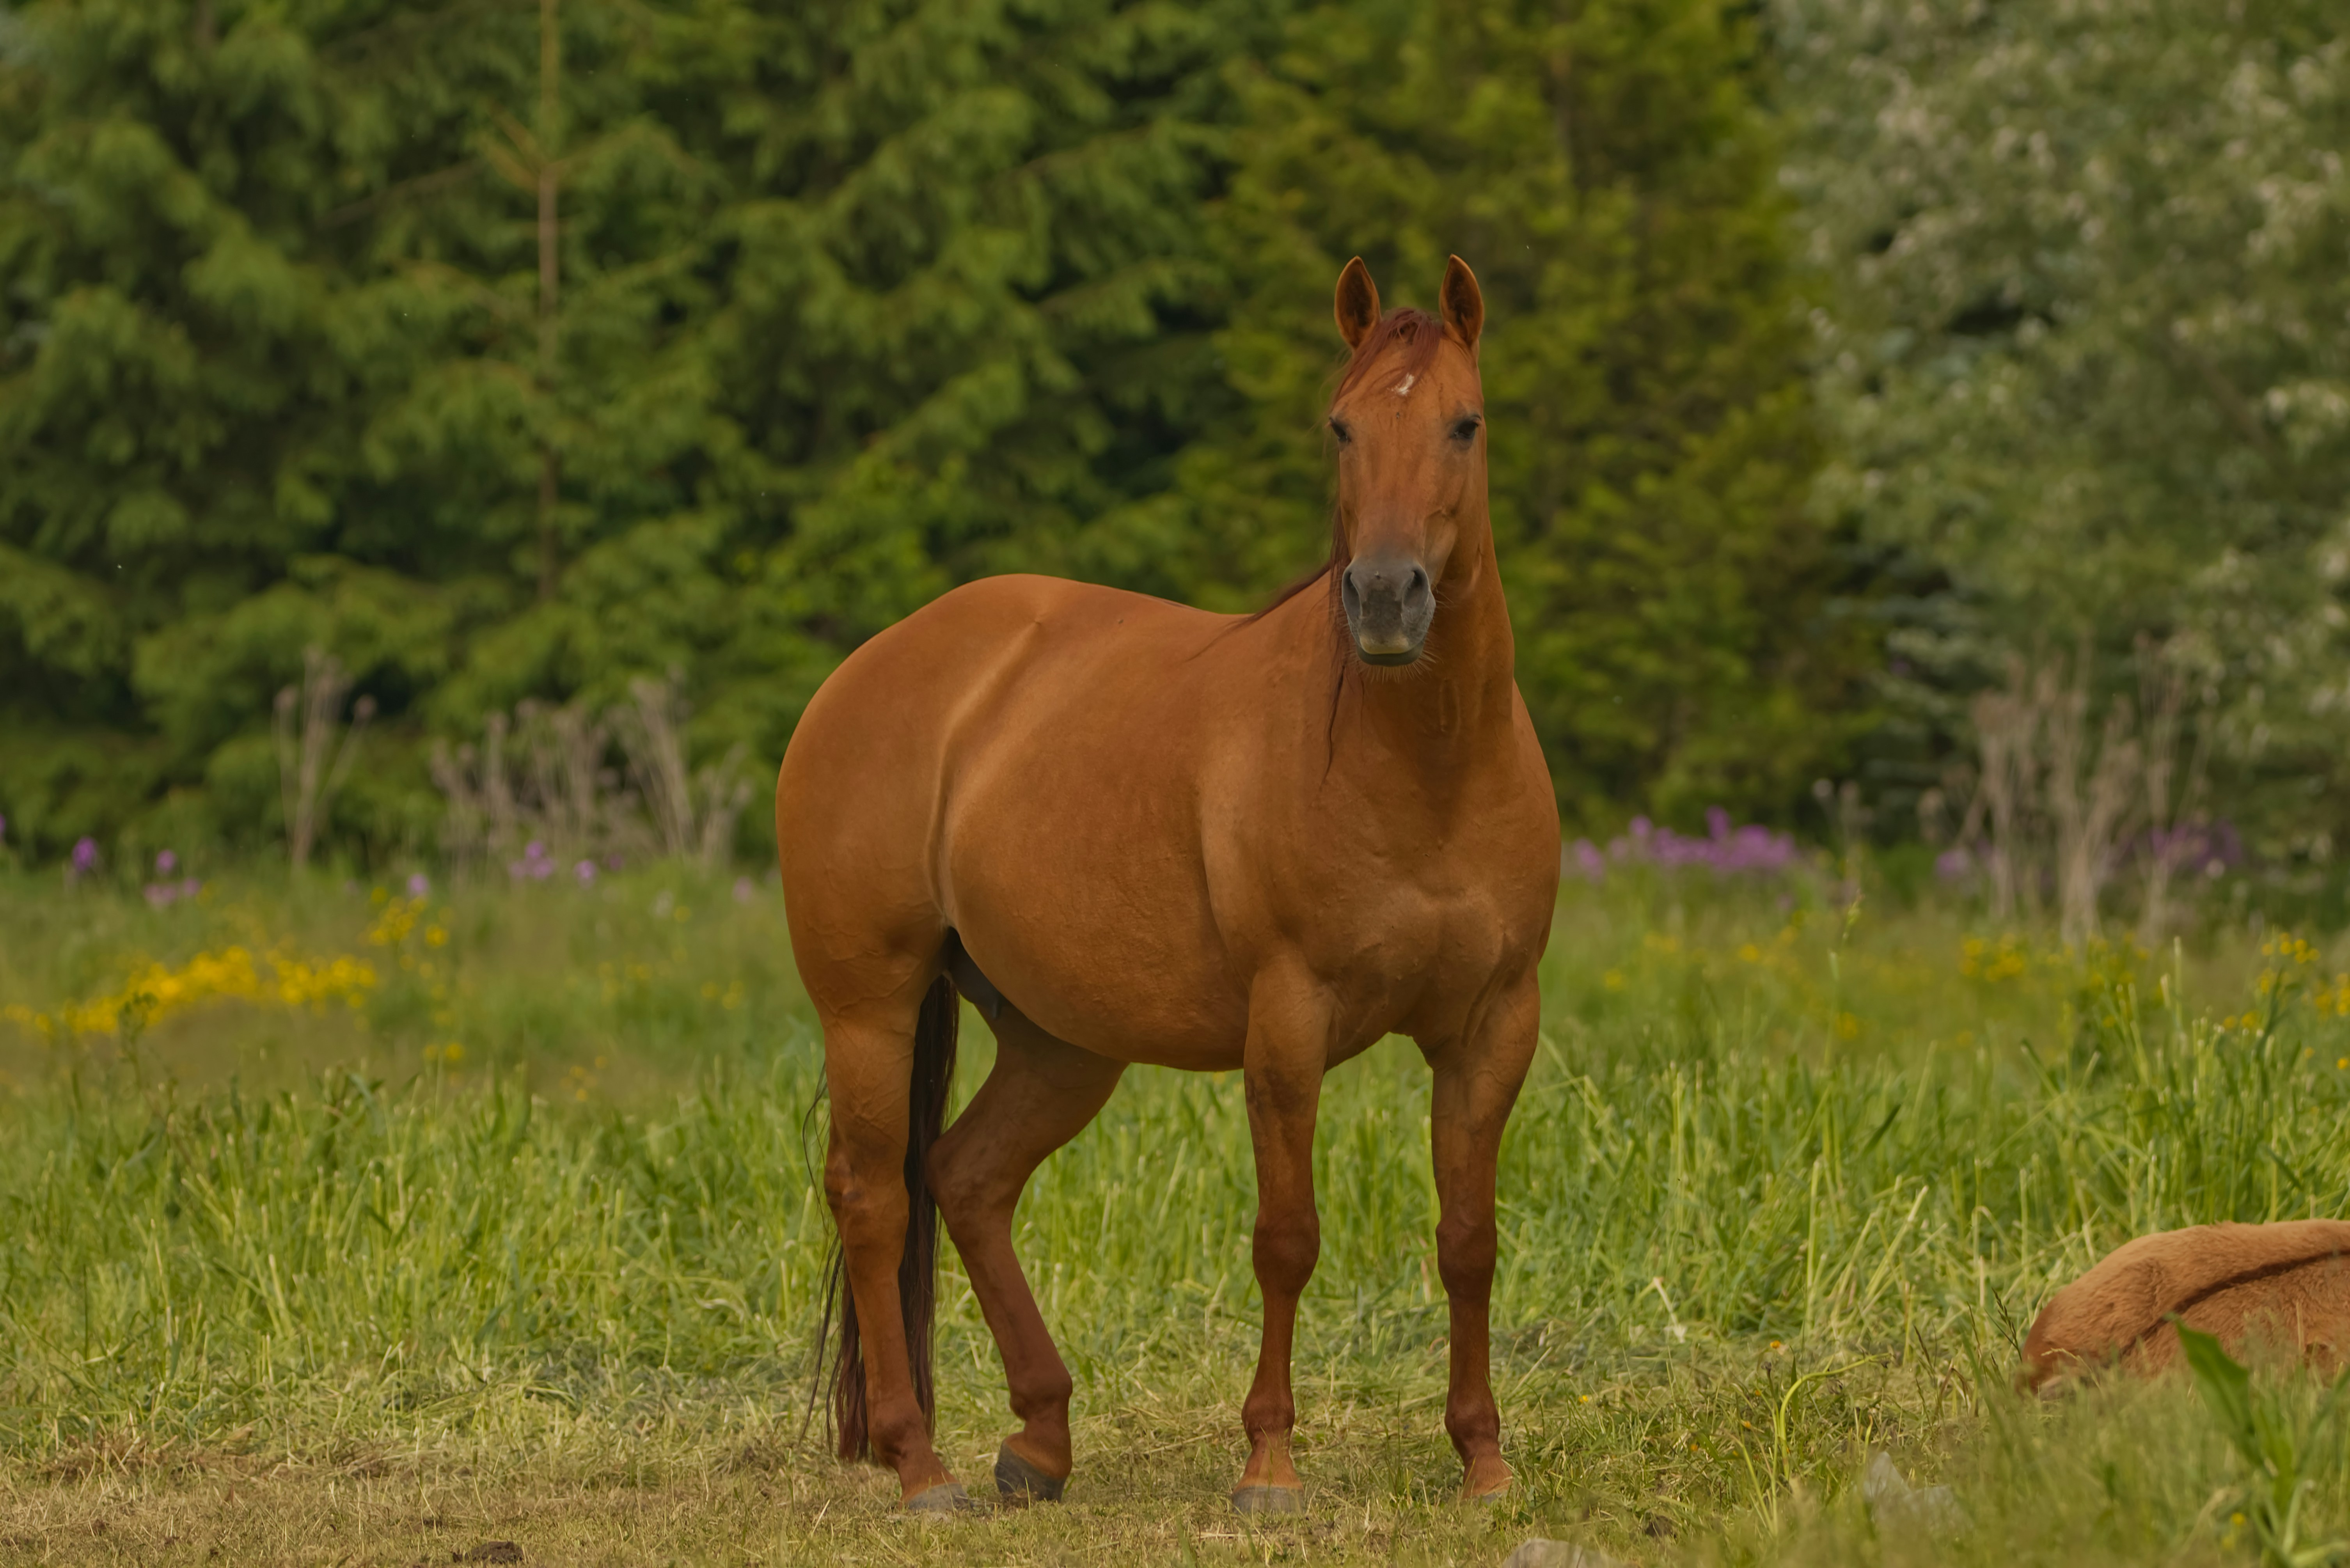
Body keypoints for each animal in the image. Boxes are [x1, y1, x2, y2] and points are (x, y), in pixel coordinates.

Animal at [775, 255, 1560, 1513]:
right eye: (1340, 425)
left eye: (1464, 422)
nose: (1386, 599)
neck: (1422, 768)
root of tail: (877, 664)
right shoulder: (1286, 1023)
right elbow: (1286, 1236)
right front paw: (1269, 1464)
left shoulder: (1493, 1025)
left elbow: (1469, 1239)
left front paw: (1482, 1457)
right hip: (871, 1004)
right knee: (873, 1193)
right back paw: (917, 1459)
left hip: (1060, 1039)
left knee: (967, 1177)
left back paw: (1040, 1439)